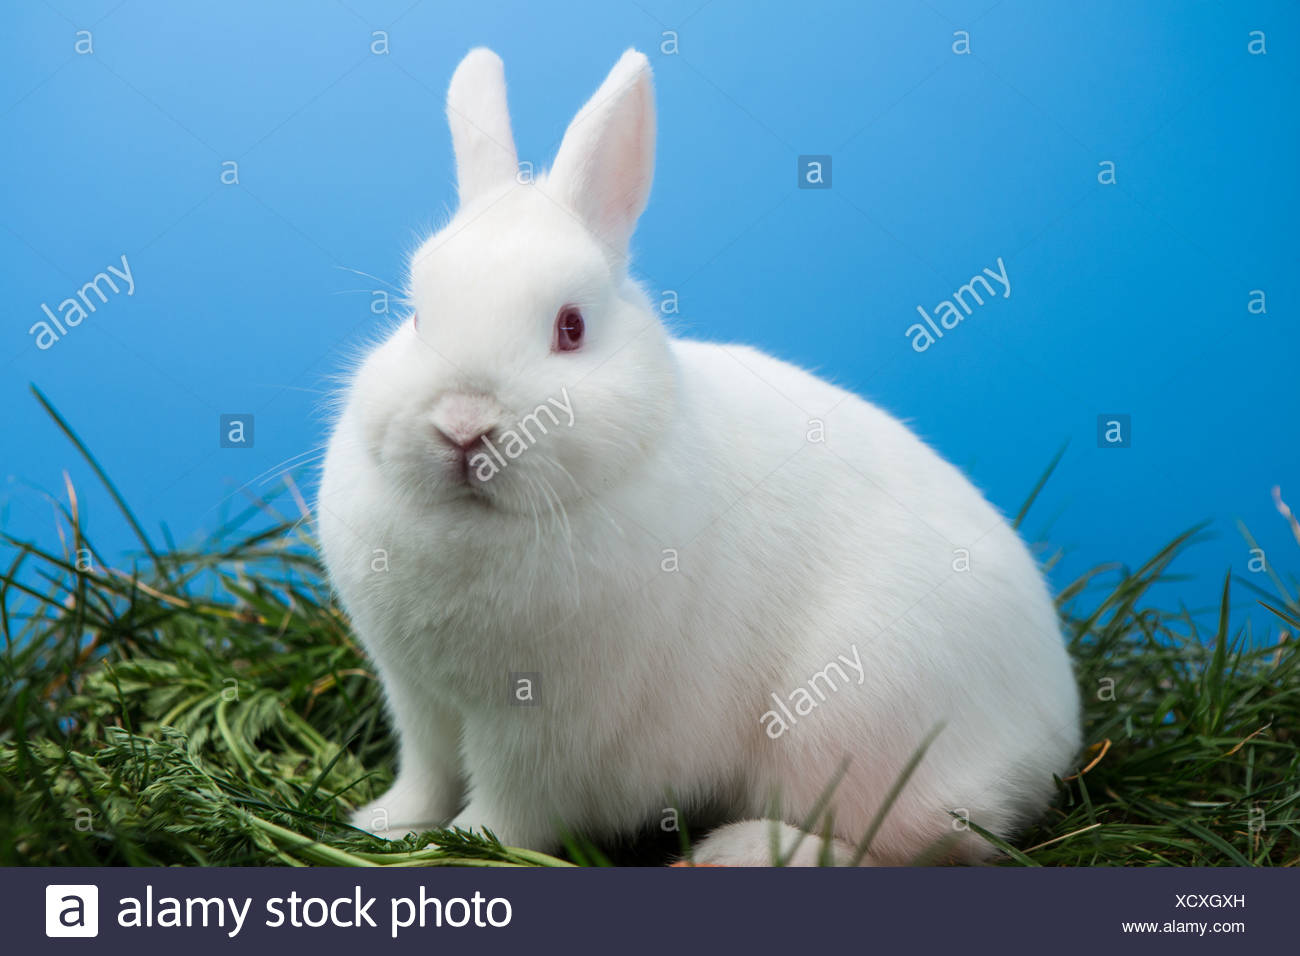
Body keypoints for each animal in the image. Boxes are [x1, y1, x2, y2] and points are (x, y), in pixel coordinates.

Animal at [317, 46, 1082, 866]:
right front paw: (384, 824)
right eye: (416, 317)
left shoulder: (546, 733)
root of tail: (1052, 734)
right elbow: (426, 774)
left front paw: (463, 844)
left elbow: (512, 809)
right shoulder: (421, 701)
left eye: (571, 328)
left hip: (853, 724)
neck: (478, 519)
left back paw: (735, 849)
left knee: (907, 842)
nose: (462, 426)